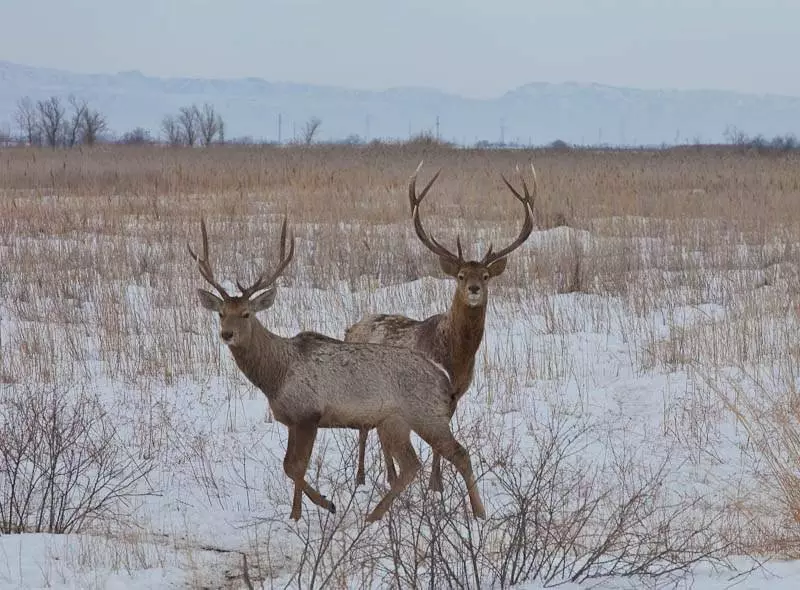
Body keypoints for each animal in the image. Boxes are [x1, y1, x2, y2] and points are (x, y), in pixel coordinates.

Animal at [189, 215, 488, 524]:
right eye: (221, 313)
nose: (226, 334)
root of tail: (444, 379)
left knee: (459, 454)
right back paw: (374, 515)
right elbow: (292, 467)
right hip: (395, 421)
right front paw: (297, 514)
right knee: (411, 465)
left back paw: (479, 513)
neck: (276, 375)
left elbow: (294, 466)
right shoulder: (293, 419)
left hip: (425, 414)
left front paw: (323, 505)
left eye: (246, 313)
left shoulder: (308, 413)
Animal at [346, 162, 536, 490]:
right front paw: (434, 485)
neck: (454, 357)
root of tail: (350, 328)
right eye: (460, 275)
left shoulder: (456, 394)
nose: (474, 289)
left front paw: (437, 485)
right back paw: (361, 479)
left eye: (486, 275)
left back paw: (389, 475)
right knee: (363, 429)